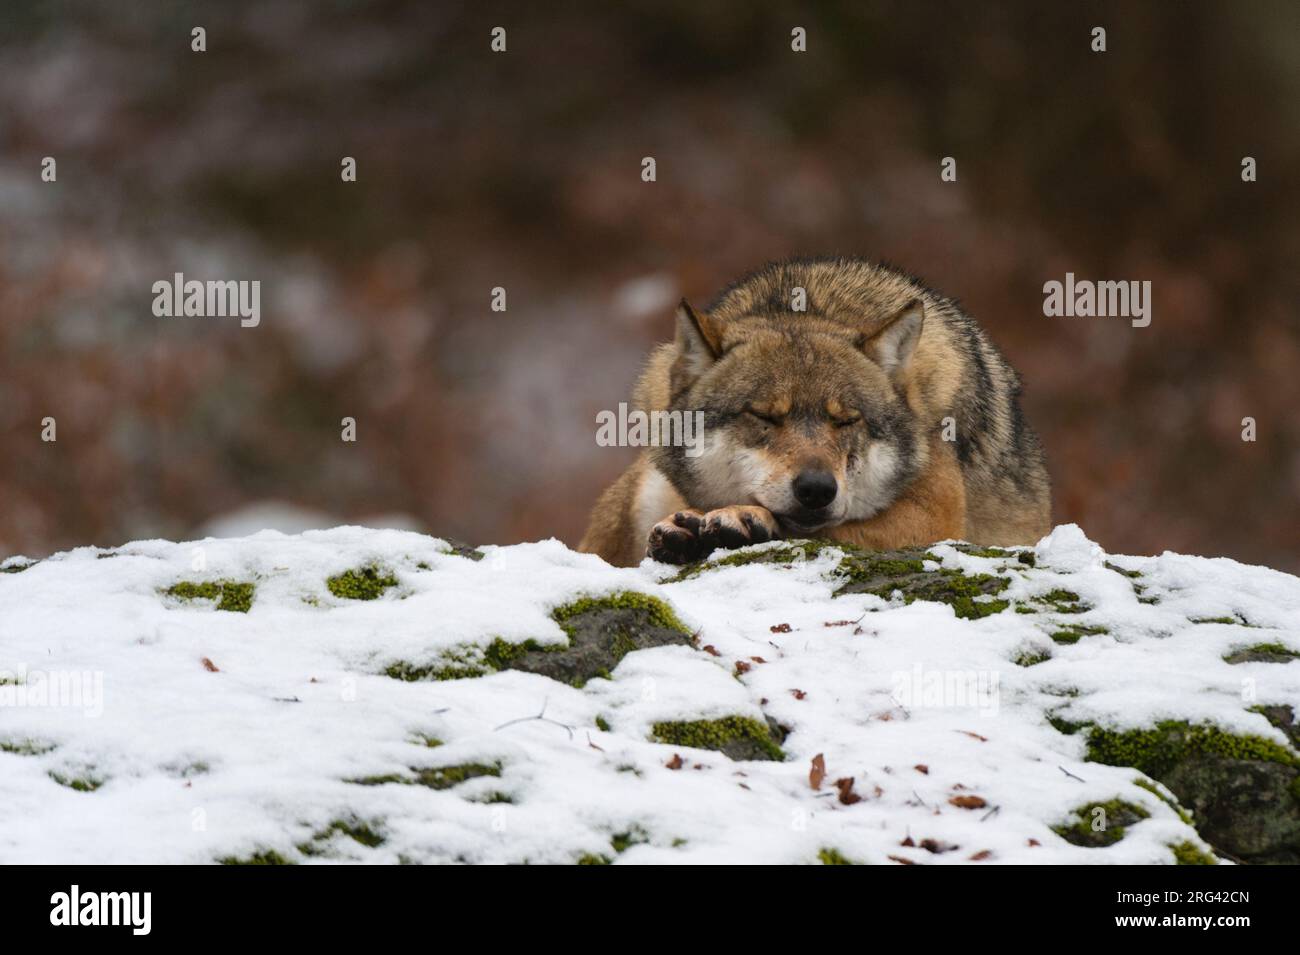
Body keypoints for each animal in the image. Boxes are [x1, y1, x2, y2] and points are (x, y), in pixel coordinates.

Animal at [579, 257, 1051, 566]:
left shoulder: (933, 516)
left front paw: (740, 522)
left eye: (846, 420)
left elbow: (822, 530)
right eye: (765, 416)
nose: (817, 489)